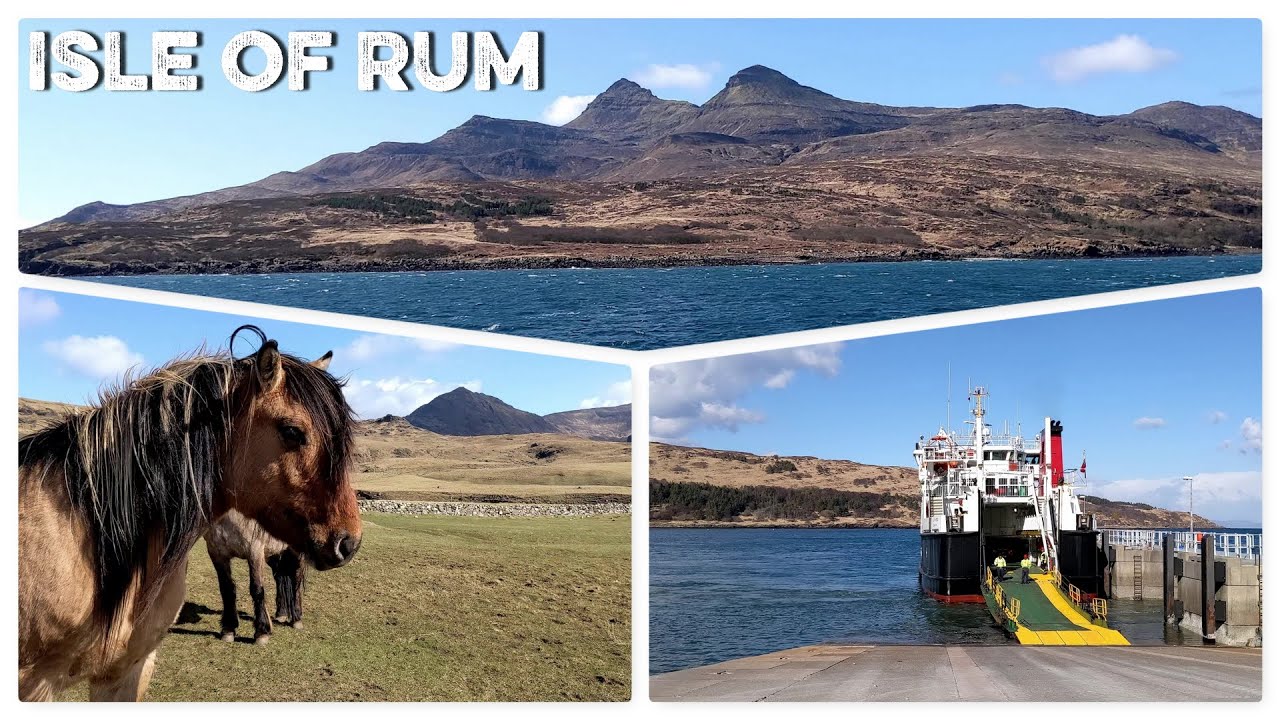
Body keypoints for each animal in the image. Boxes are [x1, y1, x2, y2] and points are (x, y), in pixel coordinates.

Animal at [204, 511, 307, 644]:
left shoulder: (255, 550)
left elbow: (257, 589)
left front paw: (261, 632)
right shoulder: (216, 552)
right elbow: (226, 590)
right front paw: (228, 629)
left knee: (296, 581)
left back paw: (297, 618)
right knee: (280, 578)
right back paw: (282, 613)